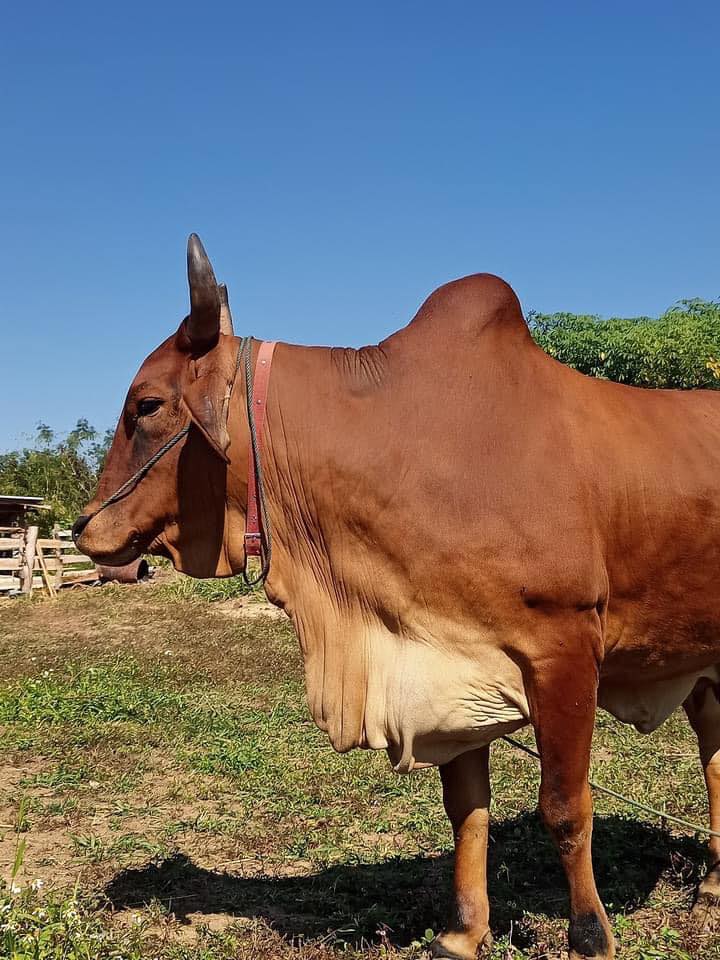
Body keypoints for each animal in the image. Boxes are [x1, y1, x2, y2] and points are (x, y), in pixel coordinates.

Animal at [74, 234, 720, 960]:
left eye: (147, 405)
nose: (84, 526)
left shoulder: (565, 648)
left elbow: (565, 806)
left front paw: (589, 936)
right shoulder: (450, 656)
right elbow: (466, 811)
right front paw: (462, 933)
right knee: (715, 752)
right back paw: (712, 889)